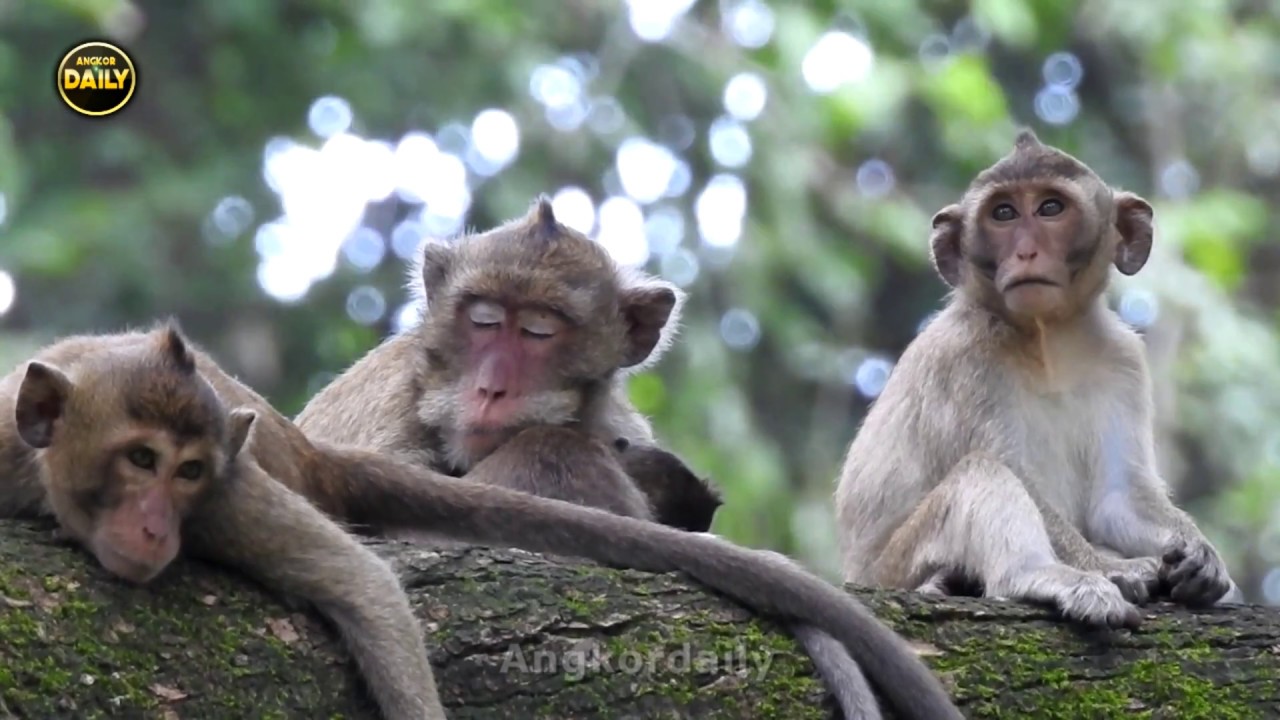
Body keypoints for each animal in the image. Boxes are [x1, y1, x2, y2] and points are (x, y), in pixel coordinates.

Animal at [835, 129, 1242, 631]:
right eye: (1004, 213)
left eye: (1050, 208)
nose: (1026, 251)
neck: (1047, 341)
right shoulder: (962, 358)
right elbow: (1015, 474)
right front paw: (1112, 568)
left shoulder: (1123, 360)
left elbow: (1119, 499)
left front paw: (1201, 557)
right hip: (897, 564)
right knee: (981, 472)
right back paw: (1033, 576)